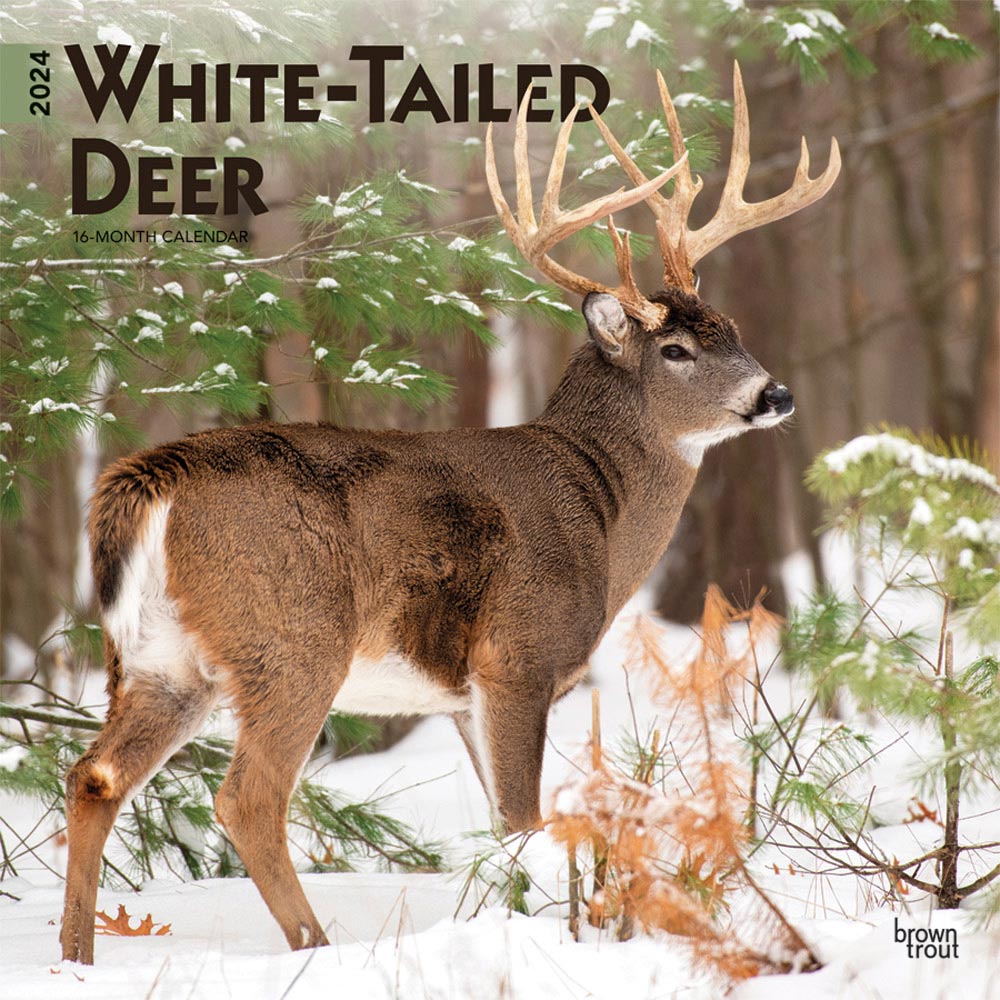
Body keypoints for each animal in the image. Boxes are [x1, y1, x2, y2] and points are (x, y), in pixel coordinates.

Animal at [60, 63, 839, 964]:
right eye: (676, 350)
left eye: (733, 329)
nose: (776, 395)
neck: (600, 510)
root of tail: (149, 480)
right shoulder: (518, 658)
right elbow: (526, 820)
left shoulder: (464, 696)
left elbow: (507, 831)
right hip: (292, 639)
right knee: (248, 799)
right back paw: (315, 946)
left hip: (161, 661)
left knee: (95, 775)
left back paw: (75, 960)